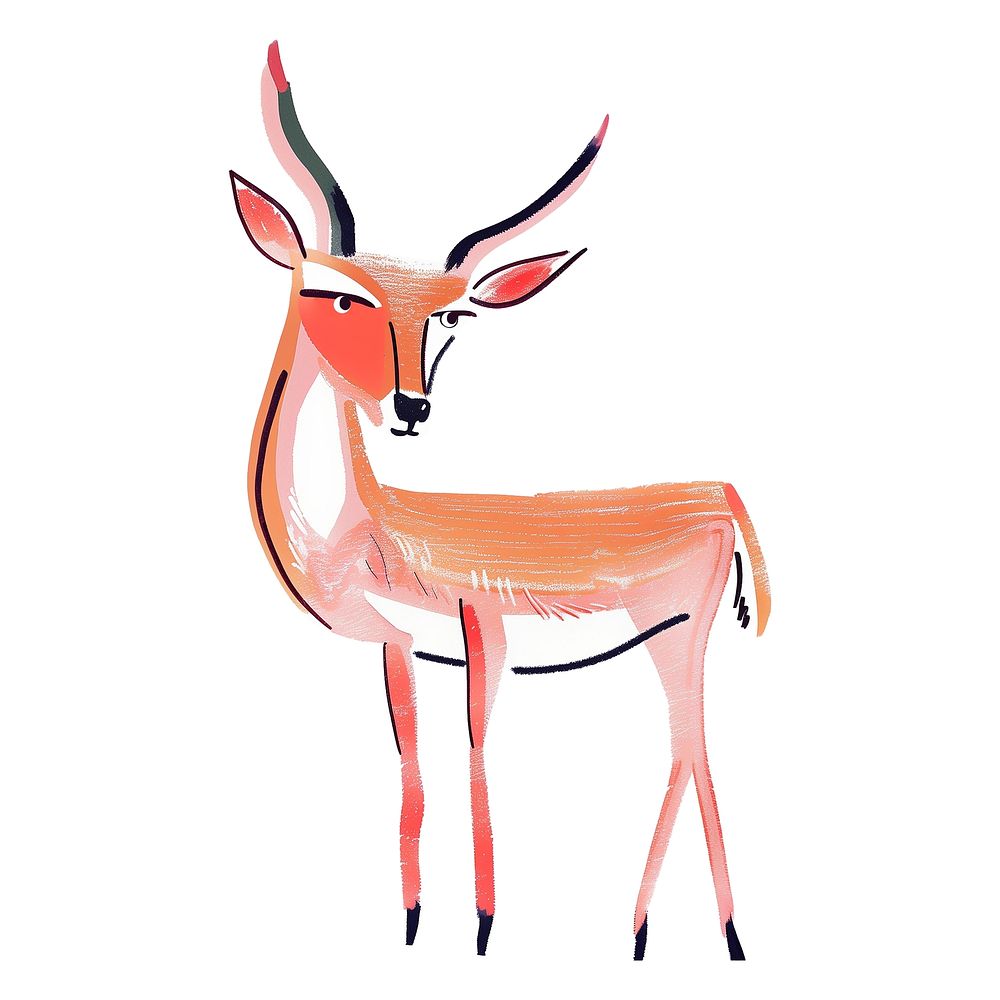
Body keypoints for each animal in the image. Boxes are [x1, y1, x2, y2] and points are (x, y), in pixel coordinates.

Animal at [232, 41, 770, 962]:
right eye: (339, 293)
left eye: (450, 316)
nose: (411, 406)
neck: (358, 532)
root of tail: (722, 494)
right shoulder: (398, 648)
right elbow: (412, 769)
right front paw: (414, 926)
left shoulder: (481, 629)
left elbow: (477, 751)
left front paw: (483, 928)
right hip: (667, 638)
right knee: (685, 745)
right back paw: (667, 936)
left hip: (679, 633)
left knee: (689, 743)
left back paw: (683, 935)